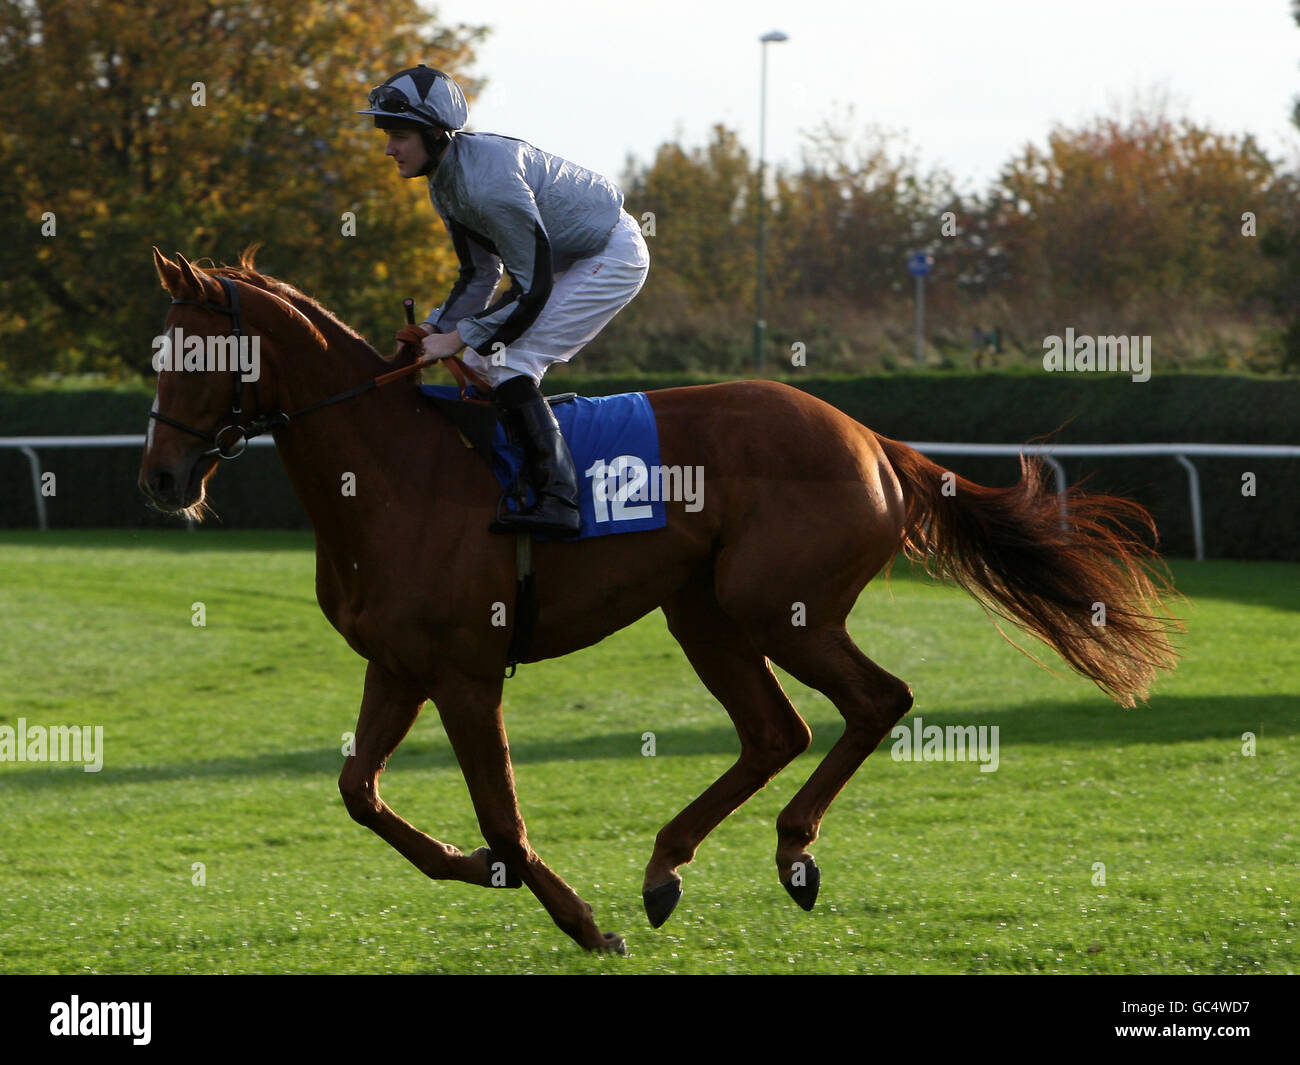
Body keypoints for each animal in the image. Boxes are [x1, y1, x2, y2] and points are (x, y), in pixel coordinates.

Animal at [140, 248, 1180, 954]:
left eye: (203, 355)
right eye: (158, 353)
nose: (159, 480)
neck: (391, 471)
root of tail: (875, 441)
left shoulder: (468, 671)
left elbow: (499, 814)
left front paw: (575, 917)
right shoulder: (399, 663)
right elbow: (361, 794)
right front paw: (481, 870)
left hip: (776, 604)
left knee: (874, 700)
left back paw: (787, 851)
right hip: (704, 610)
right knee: (778, 729)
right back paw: (670, 864)